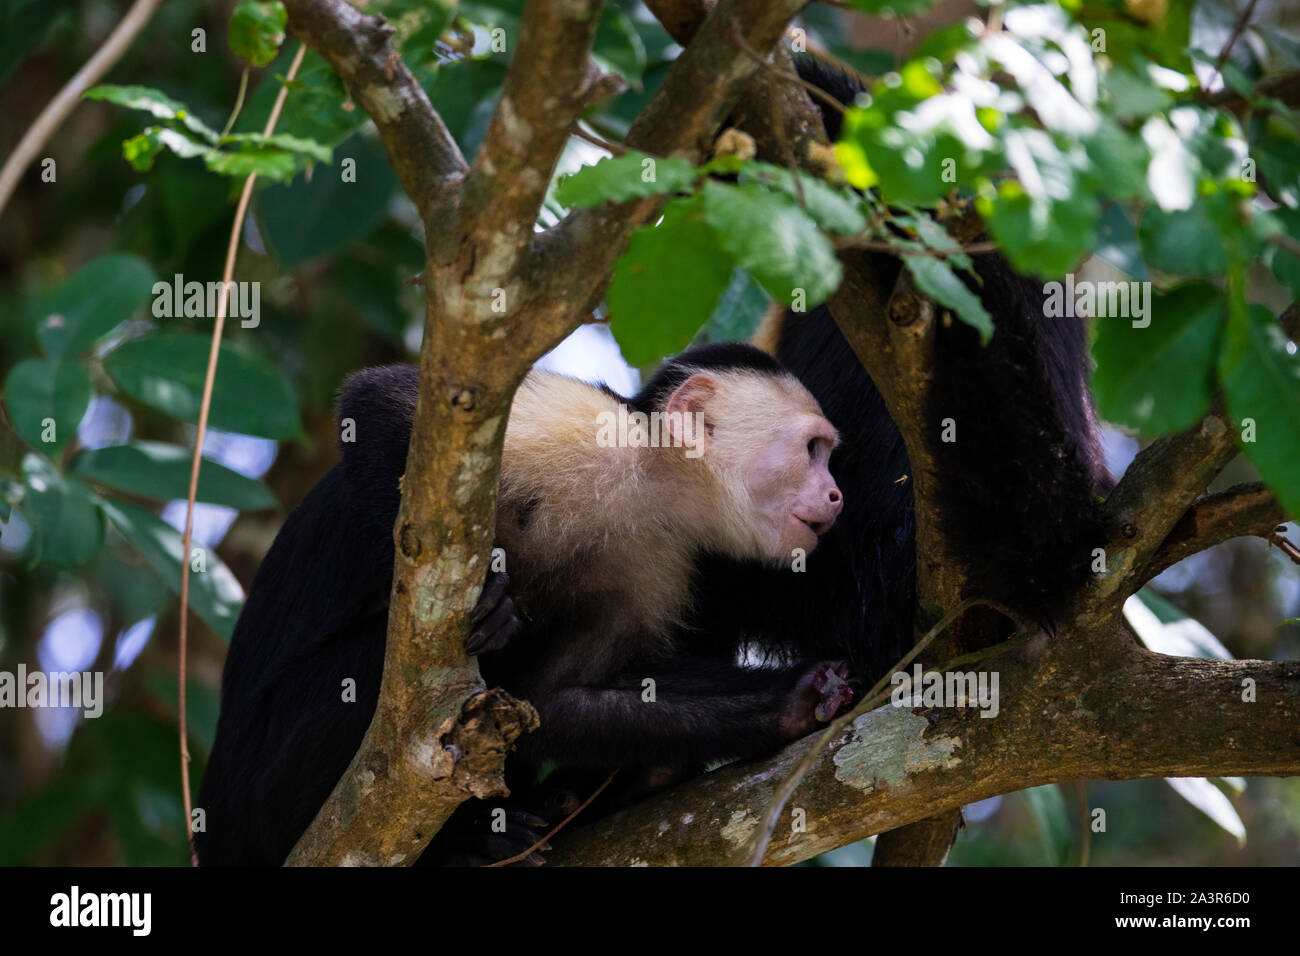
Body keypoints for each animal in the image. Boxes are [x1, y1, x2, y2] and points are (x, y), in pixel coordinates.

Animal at [195, 342, 855, 866]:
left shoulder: (659, 560)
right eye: (813, 449)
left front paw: (794, 700)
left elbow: (559, 693)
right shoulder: (584, 428)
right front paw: (481, 597)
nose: (837, 495)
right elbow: (377, 402)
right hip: (258, 797)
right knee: (377, 673)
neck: (648, 486)